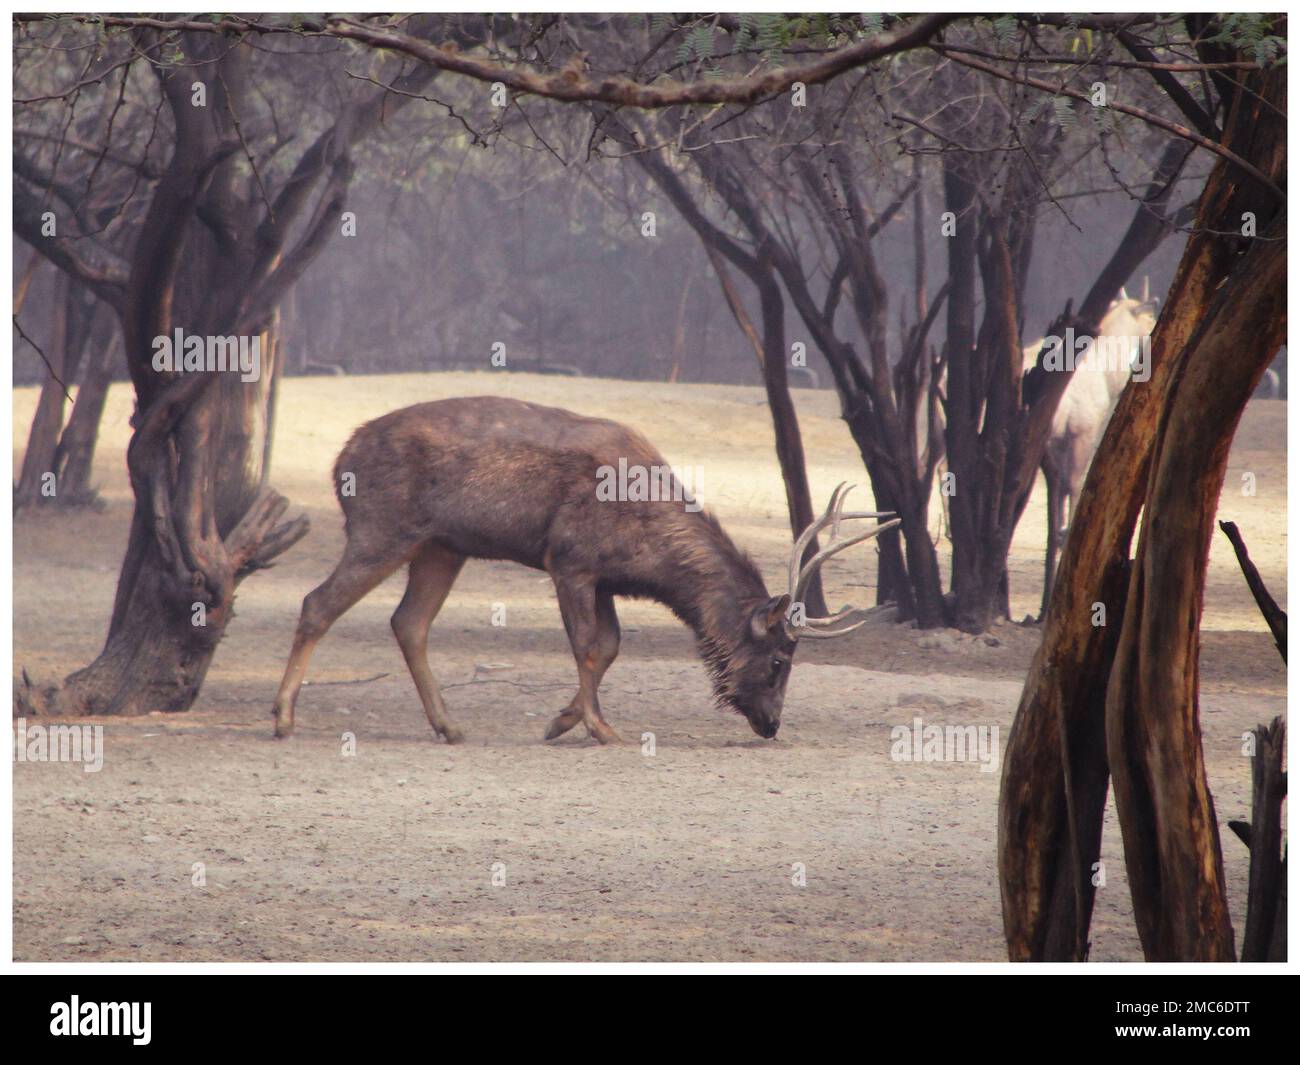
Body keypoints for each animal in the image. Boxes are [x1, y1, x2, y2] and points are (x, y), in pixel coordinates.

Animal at [271, 397, 897, 745]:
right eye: (778, 661)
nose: (772, 725)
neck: (649, 551)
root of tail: (339, 461)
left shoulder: (604, 576)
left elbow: (612, 646)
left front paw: (561, 720)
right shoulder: (568, 559)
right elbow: (588, 648)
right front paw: (599, 728)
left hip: (441, 547)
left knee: (408, 622)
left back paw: (449, 727)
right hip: (381, 528)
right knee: (317, 603)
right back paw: (282, 718)